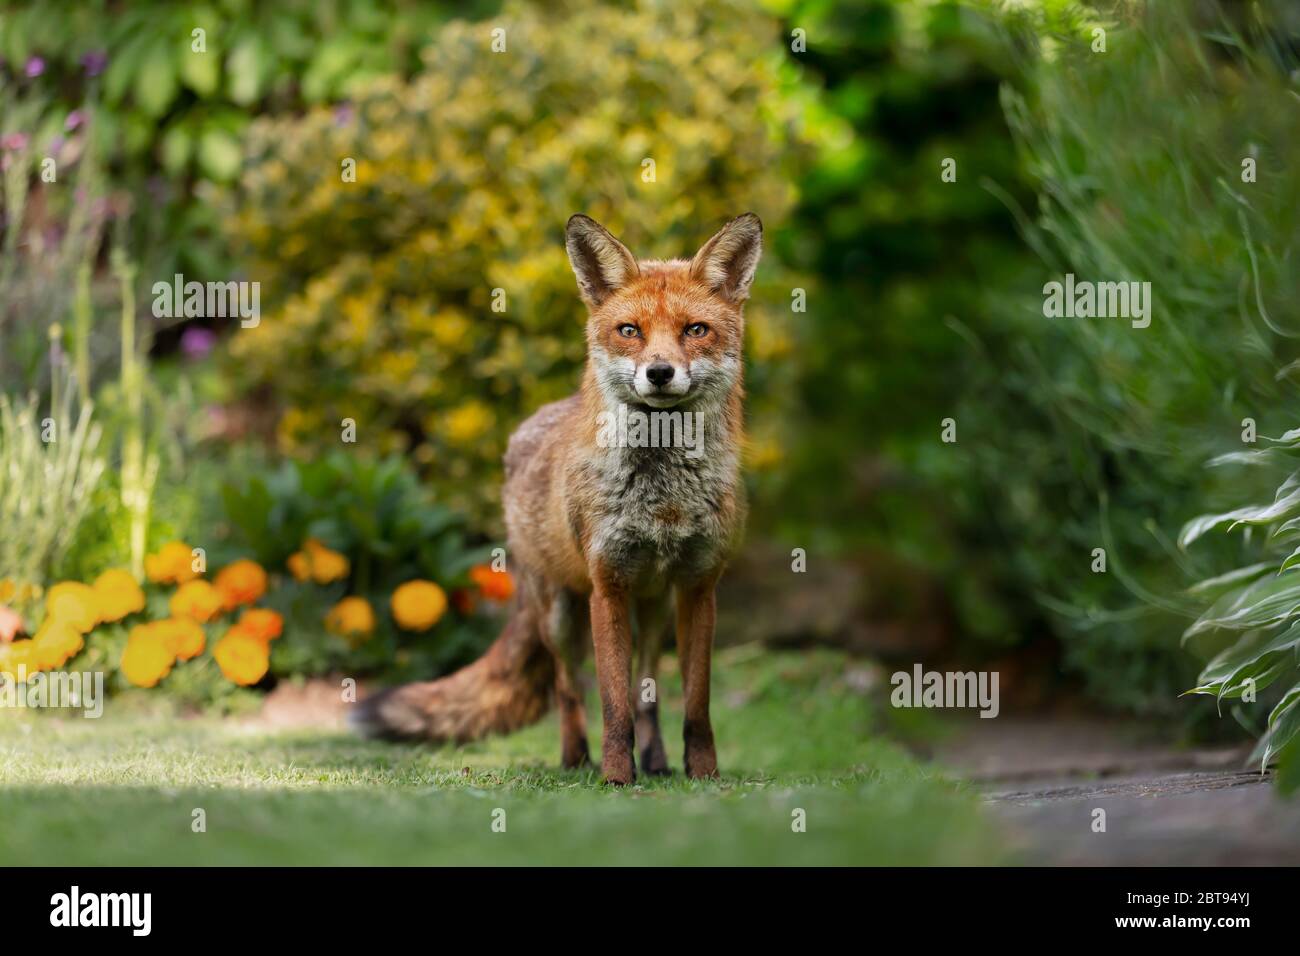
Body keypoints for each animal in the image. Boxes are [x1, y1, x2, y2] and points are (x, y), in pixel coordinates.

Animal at [354, 212, 763, 784]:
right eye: (629, 331)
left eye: (695, 330)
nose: (659, 372)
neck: (662, 501)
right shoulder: (607, 587)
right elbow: (611, 704)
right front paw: (615, 776)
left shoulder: (699, 587)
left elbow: (694, 705)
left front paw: (702, 773)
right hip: (560, 615)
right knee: (568, 689)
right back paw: (576, 760)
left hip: (654, 610)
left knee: (648, 694)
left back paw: (658, 763)